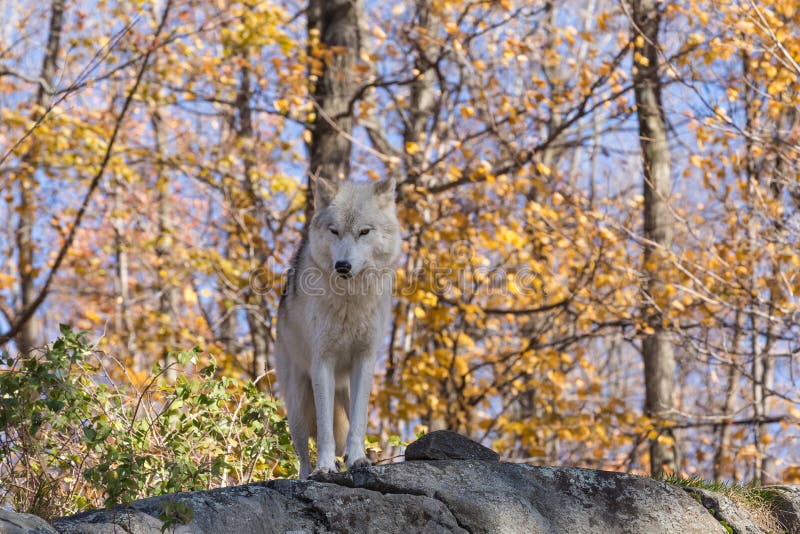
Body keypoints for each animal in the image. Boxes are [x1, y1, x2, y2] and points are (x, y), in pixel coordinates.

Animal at [274, 177, 401, 479]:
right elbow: (324, 430)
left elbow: (358, 423)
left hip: (343, 390)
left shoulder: (364, 360)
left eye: (364, 232)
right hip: (297, 405)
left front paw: (357, 460)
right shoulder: (323, 361)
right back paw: (309, 475)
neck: (350, 300)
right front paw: (325, 467)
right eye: (334, 231)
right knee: (302, 455)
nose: (342, 266)